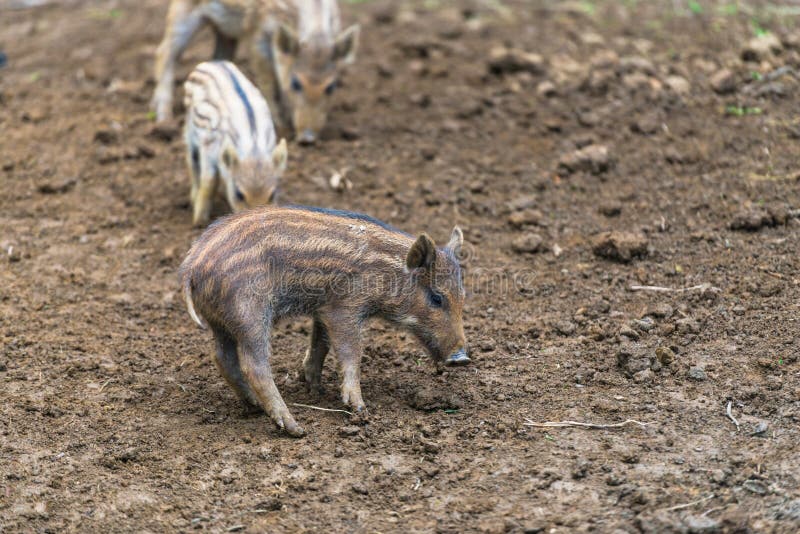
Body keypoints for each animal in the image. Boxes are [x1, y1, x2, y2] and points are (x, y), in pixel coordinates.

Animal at [152, 0, 360, 144]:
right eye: (295, 83)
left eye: (331, 86)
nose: (307, 139)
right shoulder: (257, 31)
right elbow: (268, 81)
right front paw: (281, 129)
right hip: (184, 12)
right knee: (164, 52)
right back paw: (164, 119)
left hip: (224, 30)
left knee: (218, 57)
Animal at [179, 206, 469, 436]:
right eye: (436, 298)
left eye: (462, 295)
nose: (462, 357)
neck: (385, 272)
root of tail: (191, 267)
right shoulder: (344, 308)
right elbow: (352, 352)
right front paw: (359, 408)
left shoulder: (323, 310)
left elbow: (321, 345)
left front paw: (315, 388)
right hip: (250, 314)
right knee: (254, 365)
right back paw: (294, 428)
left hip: (222, 322)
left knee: (222, 358)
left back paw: (254, 407)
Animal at [183, 60, 288, 226]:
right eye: (239, 194)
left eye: (272, 194)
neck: (253, 146)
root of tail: (214, 62)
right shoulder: (208, 146)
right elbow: (208, 181)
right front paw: (199, 221)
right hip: (190, 128)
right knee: (191, 161)